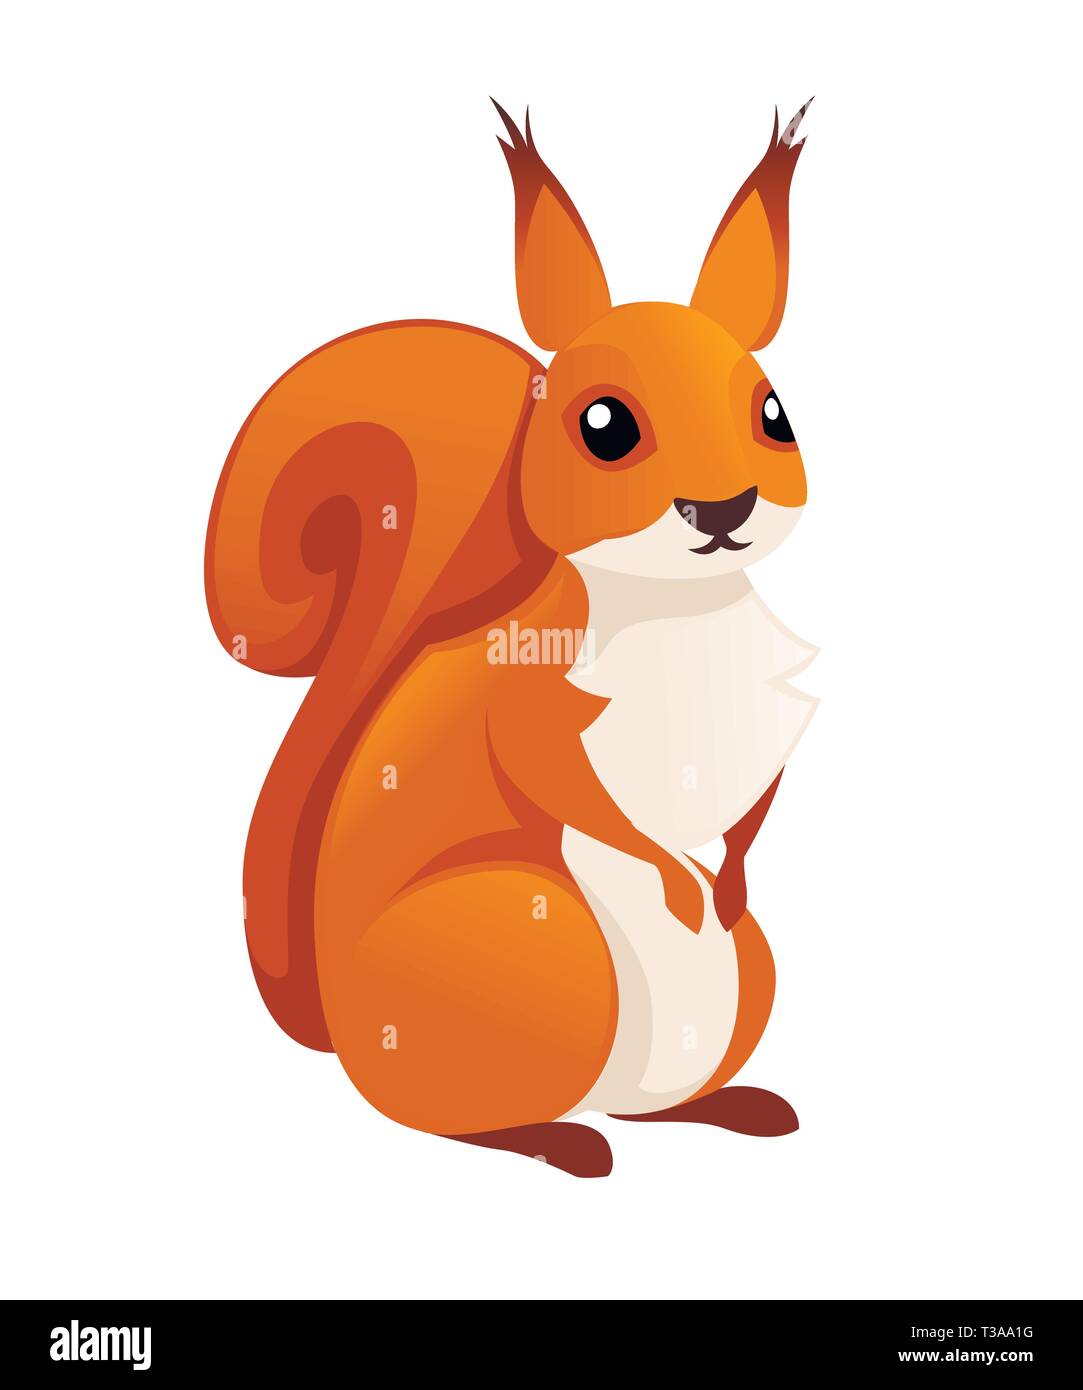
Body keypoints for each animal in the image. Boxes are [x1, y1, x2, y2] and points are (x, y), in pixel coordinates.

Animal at [205, 100, 818, 1178]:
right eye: (604, 426)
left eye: (775, 415)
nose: (722, 509)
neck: (677, 609)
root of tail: (347, 1043)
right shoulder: (530, 696)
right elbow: (557, 779)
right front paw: (670, 873)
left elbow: (754, 802)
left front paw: (730, 876)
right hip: (541, 939)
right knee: (454, 1118)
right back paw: (559, 1139)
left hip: (741, 975)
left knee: (650, 1097)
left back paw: (728, 1103)